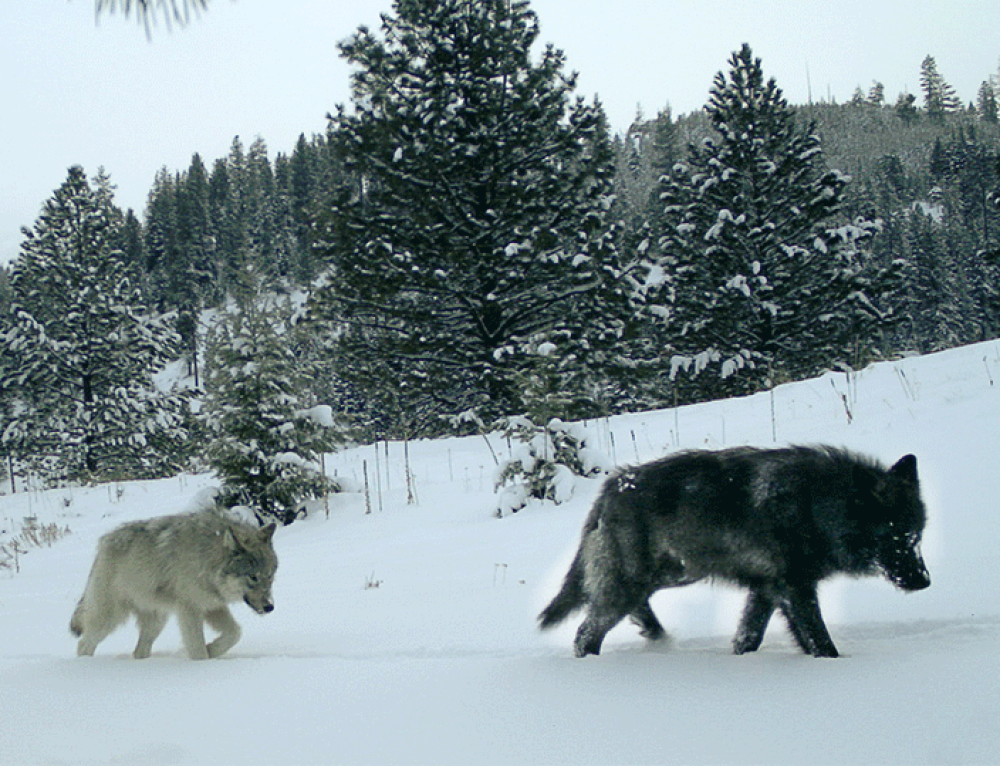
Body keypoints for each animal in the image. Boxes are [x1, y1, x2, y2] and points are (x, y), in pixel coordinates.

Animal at [70, 510, 278, 660]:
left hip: (156, 622)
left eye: (269, 576)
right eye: (253, 577)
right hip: (110, 619)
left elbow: (235, 633)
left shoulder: (213, 606)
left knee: (139, 651)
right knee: (84, 644)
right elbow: (197, 649)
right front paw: (203, 662)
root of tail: (103, 543)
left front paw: (212, 650)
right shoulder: (190, 610)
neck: (205, 560)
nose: (270, 607)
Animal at [539, 446, 930, 658]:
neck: (813, 506)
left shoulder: (767, 590)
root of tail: (608, 489)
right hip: (641, 581)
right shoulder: (796, 590)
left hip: (667, 576)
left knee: (629, 610)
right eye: (892, 539)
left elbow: (748, 636)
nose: (924, 582)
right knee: (586, 632)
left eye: (915, 537)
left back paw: (659, 638)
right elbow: (820, 641)